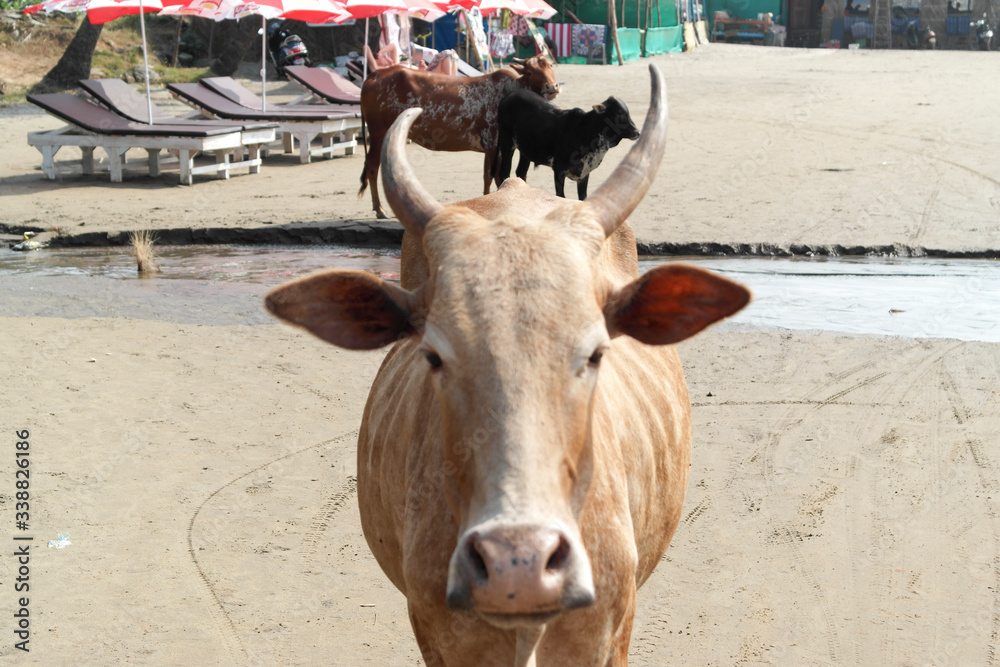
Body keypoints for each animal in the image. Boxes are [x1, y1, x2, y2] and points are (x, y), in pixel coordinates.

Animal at [358, 56, 559, 219]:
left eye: (550, 65)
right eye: (530, 71)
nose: (552, 87)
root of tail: (376, 73)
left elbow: (493, 177)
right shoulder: (493, 145)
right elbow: (494, 176)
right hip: (378, 133)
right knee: (372, 167)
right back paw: (379, 209)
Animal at [494, 90, 640, 200]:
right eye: (619, 113)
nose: (637, 132)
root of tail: (510, 95)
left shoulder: (584, 174)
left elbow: (583, 198)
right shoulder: (559, 170)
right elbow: (561, 196)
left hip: (525, 150)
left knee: (521, 172)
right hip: (506, 144)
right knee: (504, 172)